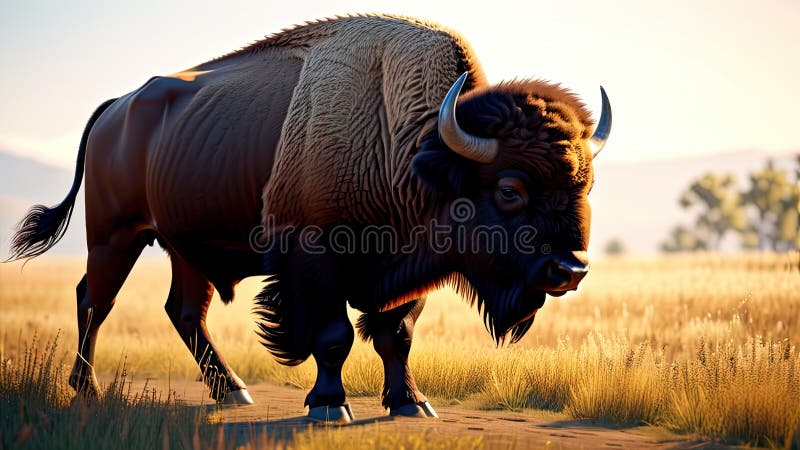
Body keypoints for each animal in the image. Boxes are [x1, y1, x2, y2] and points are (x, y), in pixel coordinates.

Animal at [8, 15, 610, 421]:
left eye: (586, 184)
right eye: (510, 189)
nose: (571, 270)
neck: (408, 145)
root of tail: (116, 107)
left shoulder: (406, 271)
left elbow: (397, 333)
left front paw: (410, 403)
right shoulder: (314, 254)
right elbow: (333, 334)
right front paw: (327, 405)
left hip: (185, 248)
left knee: (182, 311)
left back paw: (232, 390)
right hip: (115, 236)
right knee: (95, 300)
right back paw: (86, 389)